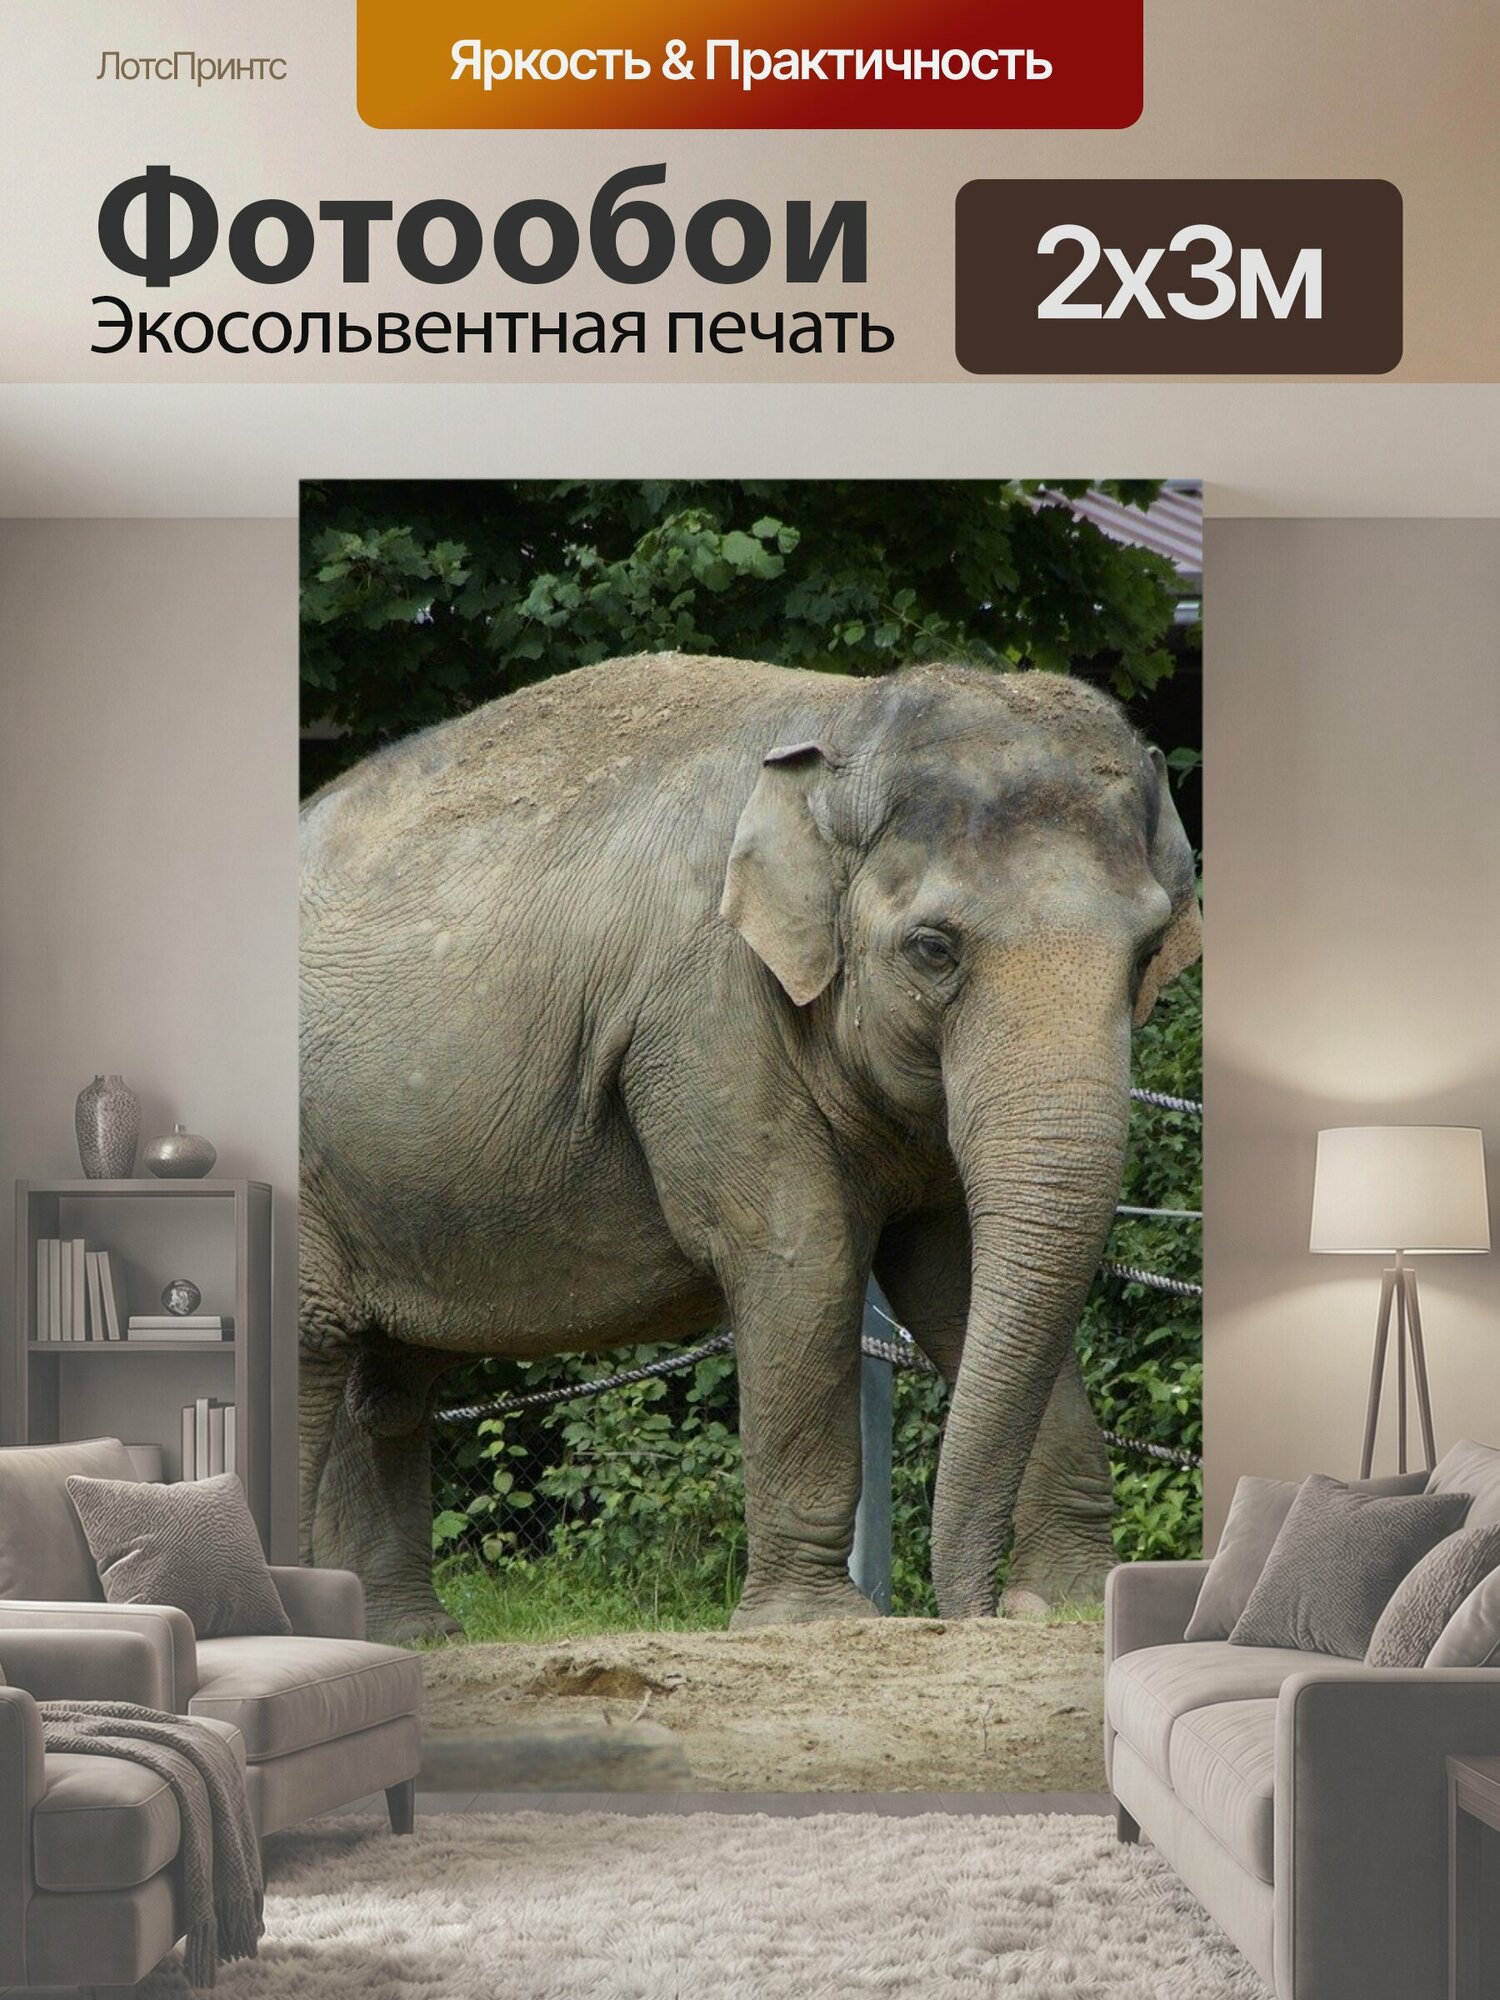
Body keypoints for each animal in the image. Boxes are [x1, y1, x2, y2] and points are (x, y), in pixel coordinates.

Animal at [299, 652, 1200, 1642]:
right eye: (933, 949)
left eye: (1150, 951)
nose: (979, 1612)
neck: (844, 720)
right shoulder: (706, 1014)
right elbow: (801, 1253)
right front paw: (816, 1625)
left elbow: (956, 1274)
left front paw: (1072, 1602)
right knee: (318, 1339)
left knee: (382, 1380)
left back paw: (406, 1636)